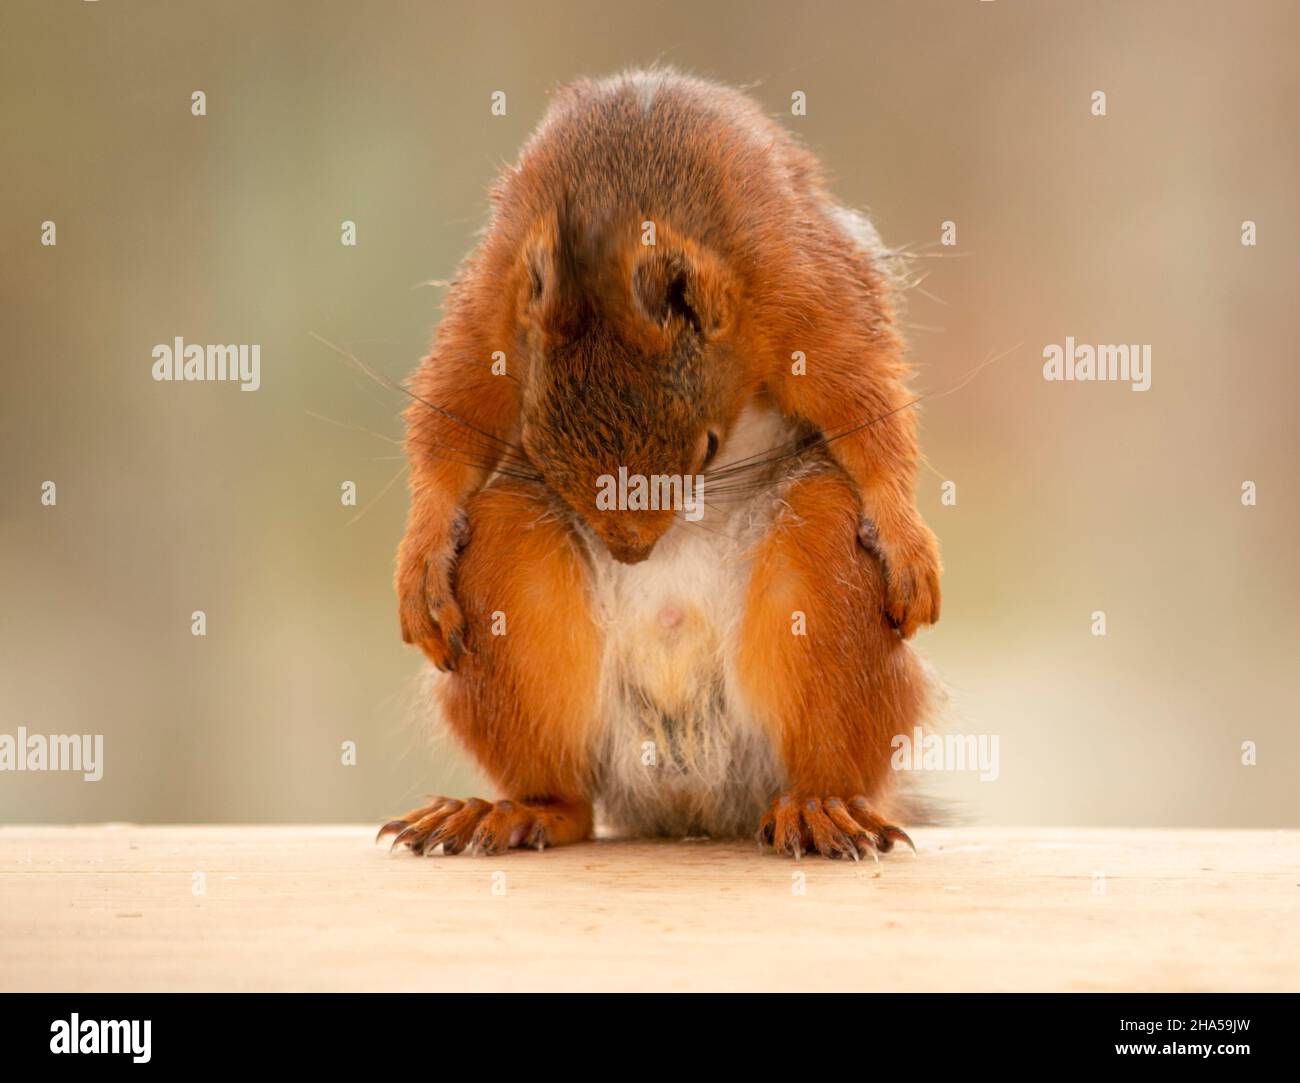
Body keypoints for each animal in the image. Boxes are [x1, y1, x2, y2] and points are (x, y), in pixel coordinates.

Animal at [378, 68, 941, 860]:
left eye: (707, 449)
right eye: (539, 446)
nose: (631, 552)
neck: (616, 201)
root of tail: (688, 800)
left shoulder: (797, 282)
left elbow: (866, 398)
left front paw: (906, 535)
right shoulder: (494, 293)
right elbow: (449, 414)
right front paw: (420, 559)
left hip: (824, 579)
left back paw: (820, 808)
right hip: (518, 581)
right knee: (570, 801)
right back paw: (511, 811)